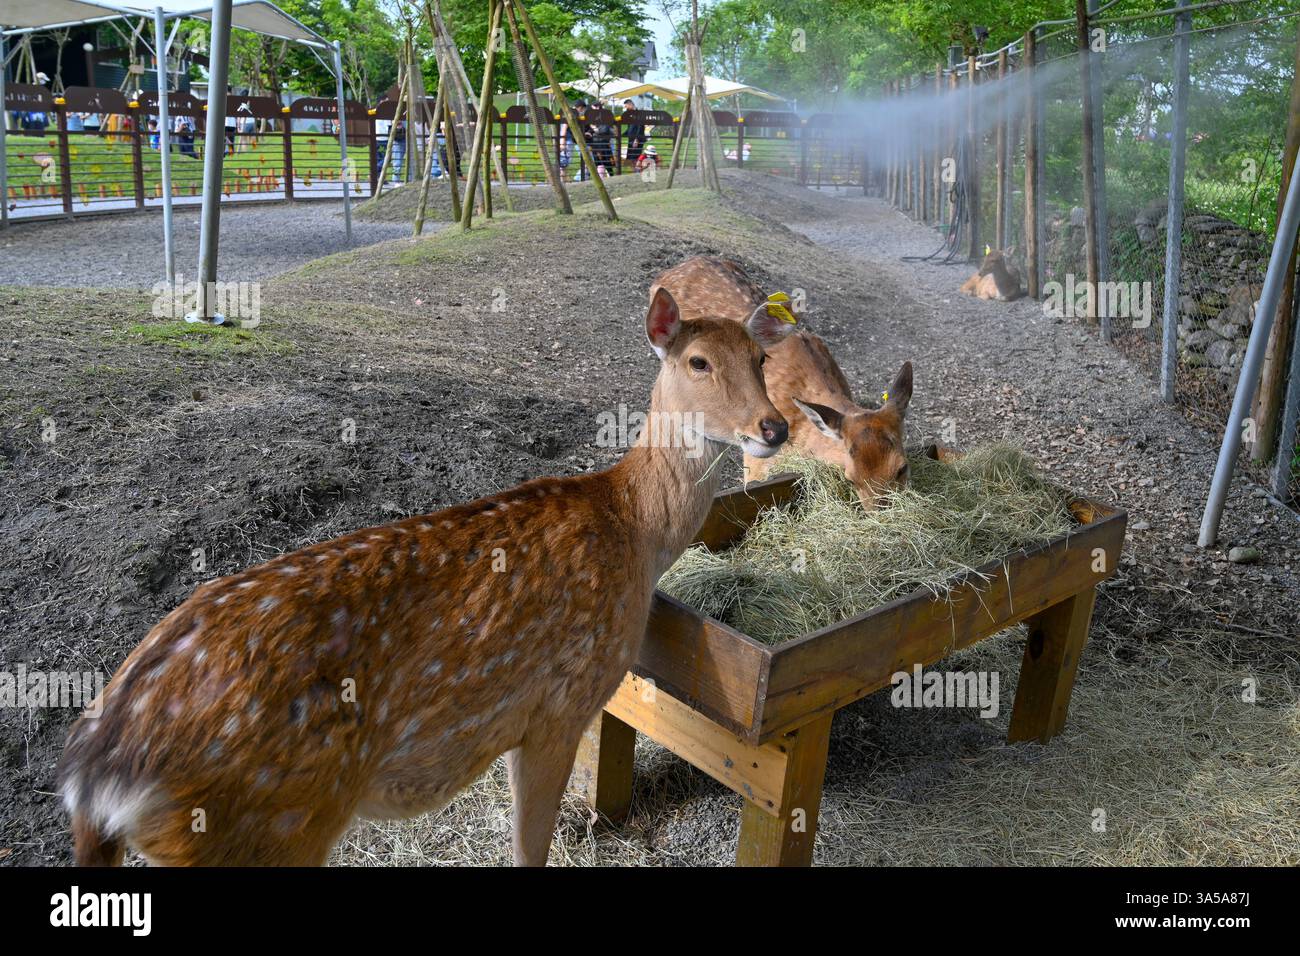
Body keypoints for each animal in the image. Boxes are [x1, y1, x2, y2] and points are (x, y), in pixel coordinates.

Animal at [58, 285, 793, 867]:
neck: (634, 530)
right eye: (698, 362)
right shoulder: (559, 705)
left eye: (761, 360)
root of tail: (95, 778)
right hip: (267, 824)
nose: (774, 427)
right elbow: (529, 849)